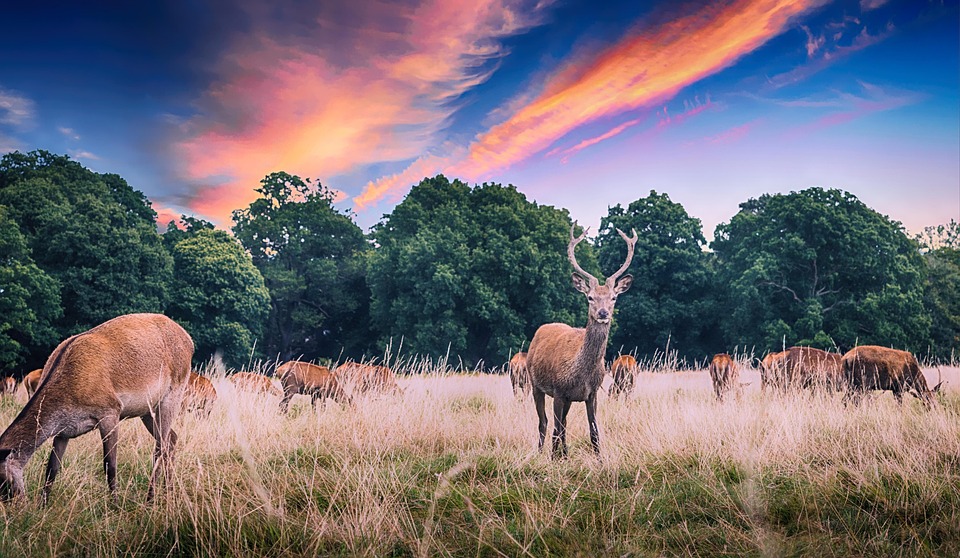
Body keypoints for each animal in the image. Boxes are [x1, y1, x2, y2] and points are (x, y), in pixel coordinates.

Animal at [0, 313, 193, 503]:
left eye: (2, 482)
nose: (16, 504)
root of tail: (189, 341)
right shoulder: (64, 431)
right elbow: (52, 469)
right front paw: (43, 505)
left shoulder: (111, 411)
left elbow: (110, 465)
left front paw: (115, 505)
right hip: (148, 410)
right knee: (171, 439)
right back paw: (169, 491)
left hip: (172, 395)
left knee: (160, 448)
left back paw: (150, 499)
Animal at [527, 223, 637, 458]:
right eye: (590, 297)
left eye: (614, 297)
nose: (603, 313)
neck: (581, 375)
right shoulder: (559, 391)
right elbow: (555, 429)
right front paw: (552, 460)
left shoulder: (592, 393)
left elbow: (593, 431)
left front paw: (599, 460)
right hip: (535, 385)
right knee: (544, 423)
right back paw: (541, 453)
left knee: (563, 424)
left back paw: (565, 454)